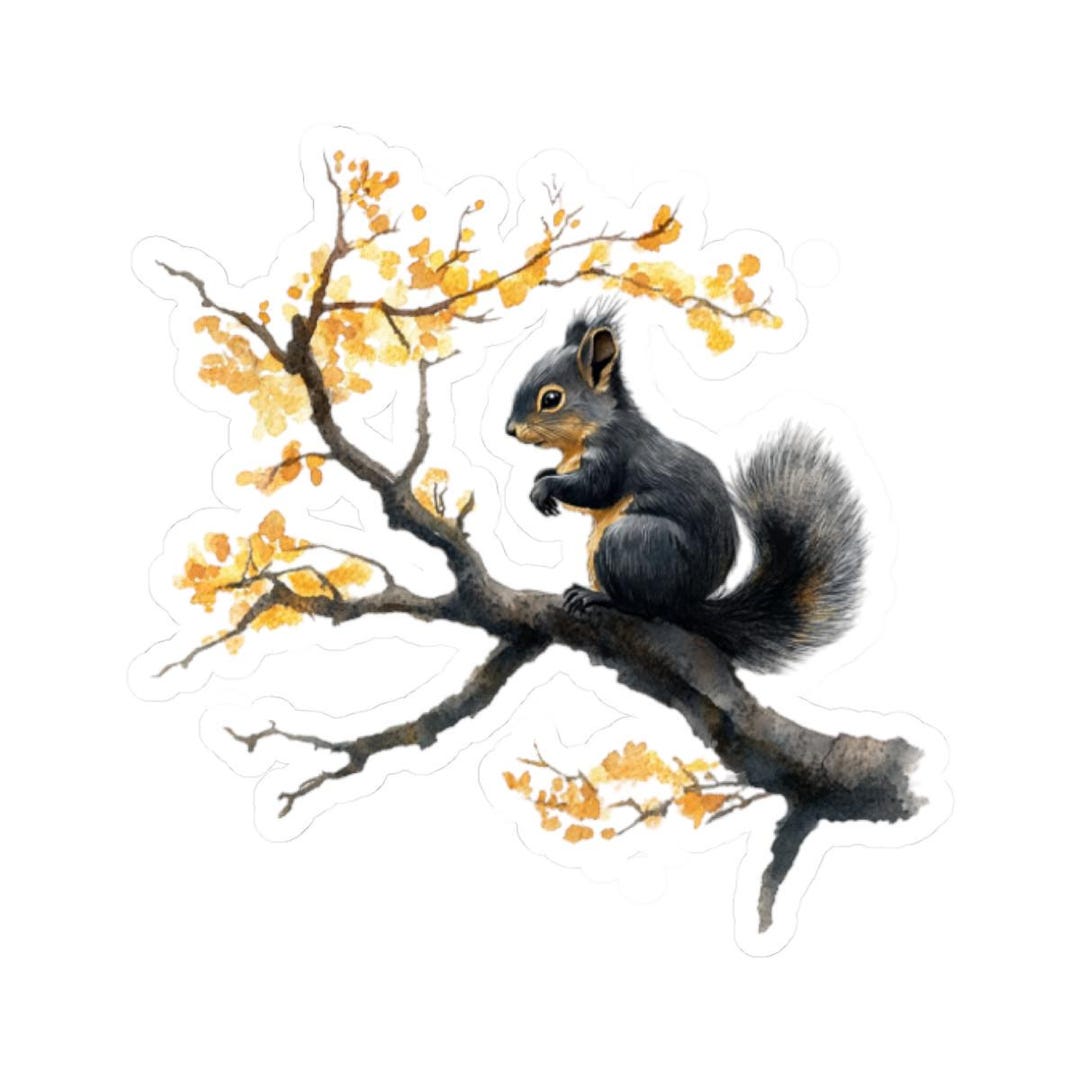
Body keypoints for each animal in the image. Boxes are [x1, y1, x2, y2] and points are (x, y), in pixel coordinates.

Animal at [505, 301, 866, 672]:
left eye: (551, 398)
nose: (510, 430)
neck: (590, 430)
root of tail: (688, 604)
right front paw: (543, 476)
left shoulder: (615, 451)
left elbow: (594, 490)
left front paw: (545, 488)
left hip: (632, 542)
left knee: (643, 607)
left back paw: (598, 596)